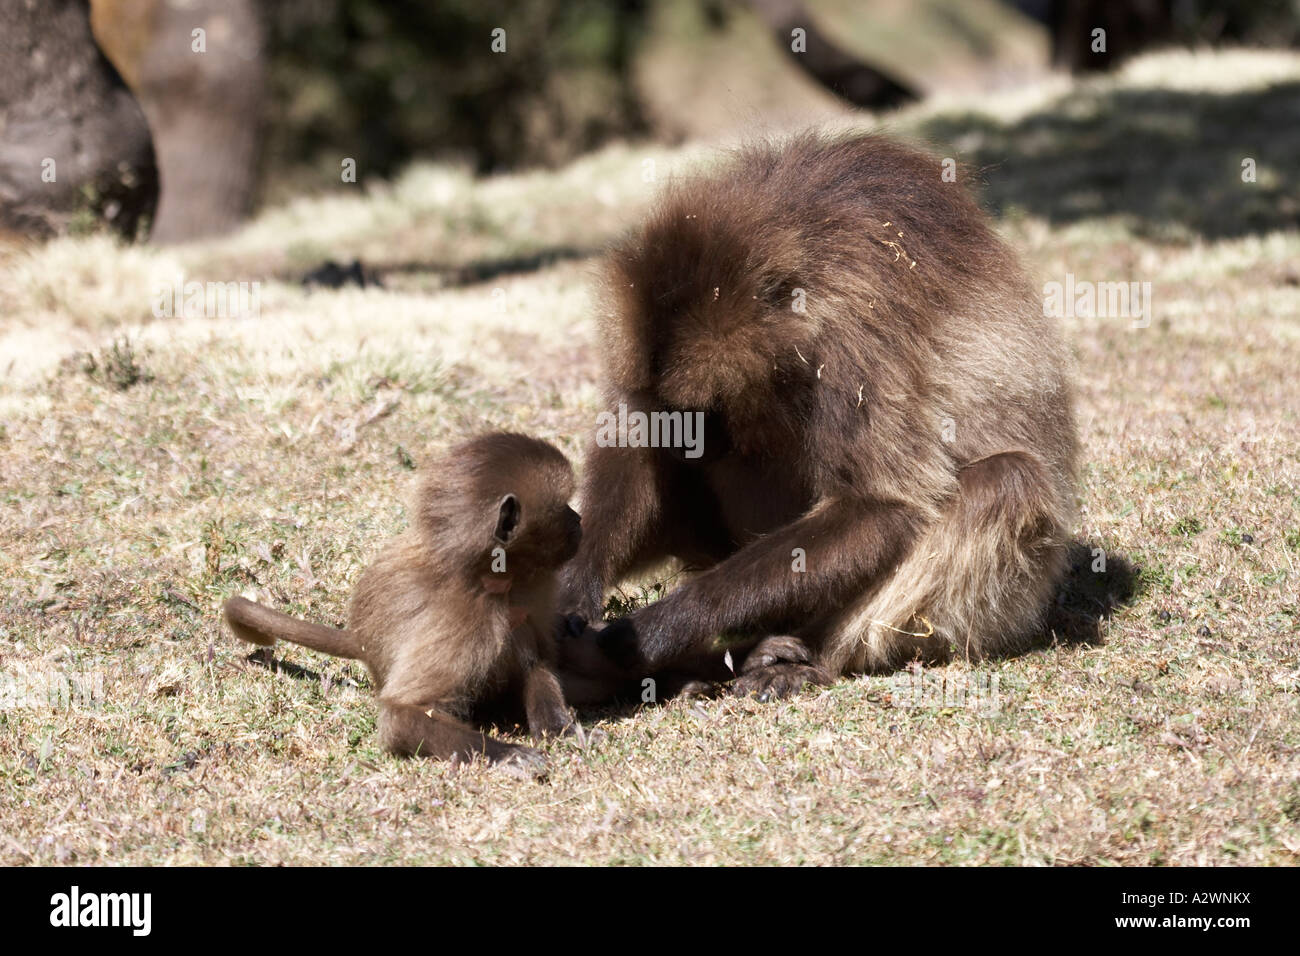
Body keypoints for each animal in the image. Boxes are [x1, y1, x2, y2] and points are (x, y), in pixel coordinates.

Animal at [224, 432, 584, 773]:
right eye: (564, 507)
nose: (578, 520)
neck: (486, 577)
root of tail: (363, 639)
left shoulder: (530, 589)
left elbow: (537, 662)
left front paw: (559, 730)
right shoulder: (464, 622)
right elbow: (401, 715)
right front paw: (508, 753)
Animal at [556, 131, 1079, 701]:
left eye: (704, 413)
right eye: (676, 418)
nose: (684, 444)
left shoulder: (858, 336)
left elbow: (882, 505)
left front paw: (647, 635)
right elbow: (634, 442)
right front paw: (573, 583)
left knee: (1009, 481)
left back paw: (799, 658)